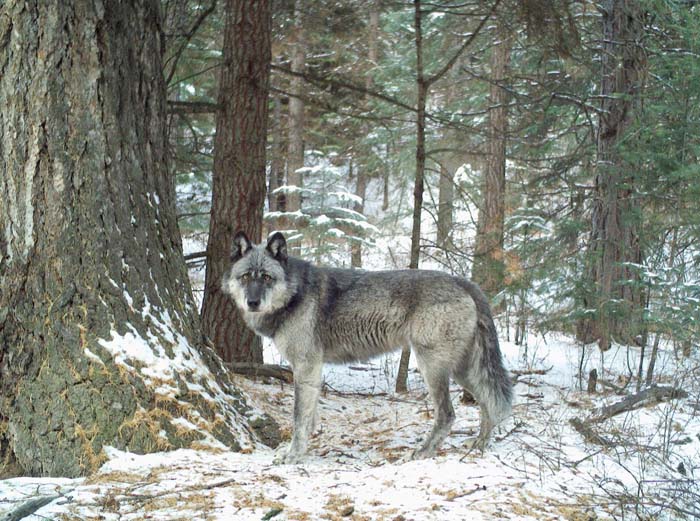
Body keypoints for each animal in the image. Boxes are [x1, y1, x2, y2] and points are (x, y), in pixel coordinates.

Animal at [222, 231, 512, 464]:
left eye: (266, 277)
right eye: (245, 277)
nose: (253, 302)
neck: (296, 294)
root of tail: (465, 283)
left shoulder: (306, 367)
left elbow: (298, 419)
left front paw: (293, 456)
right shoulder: (311, 371)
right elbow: (310, 416)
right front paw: (301, 448)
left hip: (433, 369)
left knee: (448, 414)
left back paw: (422, 453)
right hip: (463, 371)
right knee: (488, 404)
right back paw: (478, 448)